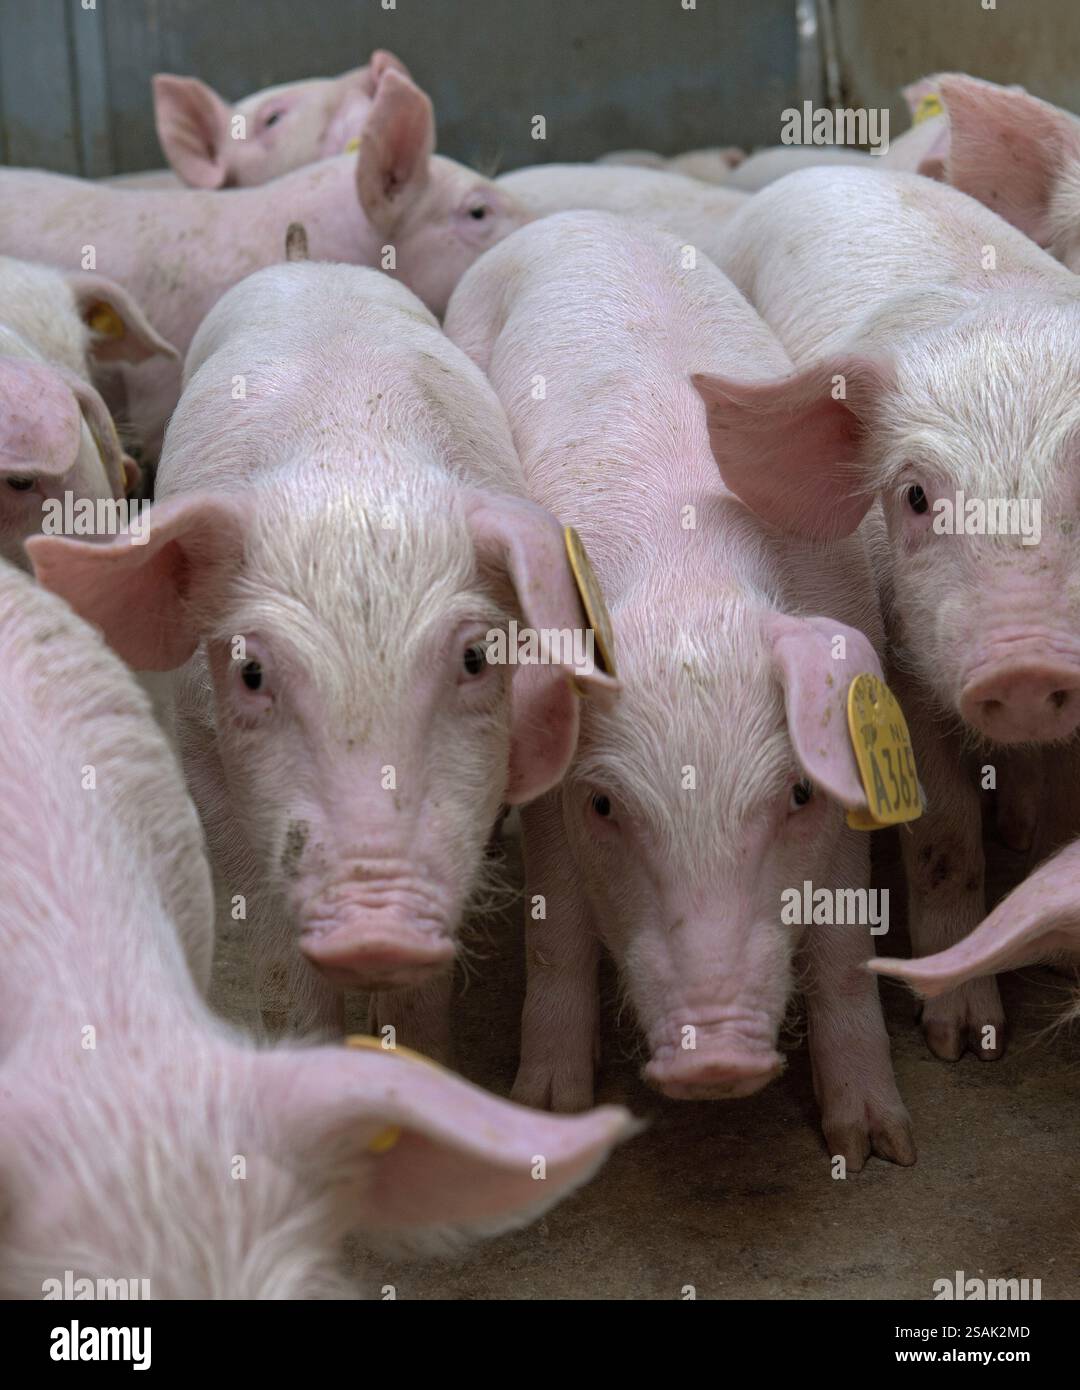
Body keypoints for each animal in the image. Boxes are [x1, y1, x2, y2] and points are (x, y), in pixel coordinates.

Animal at [30, 260, 616, 1043]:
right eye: (250, 672)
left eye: (475, 659)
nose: (377, 928)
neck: (351, 466)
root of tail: (308, 257)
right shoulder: (203, 751)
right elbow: (279, 959)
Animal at [444, 210, 914, 1169]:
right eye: (605, 806)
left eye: (797, 794)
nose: (716, 1061)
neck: (690, 586)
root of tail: (571, 215)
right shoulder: (554, 792)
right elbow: (556, 932)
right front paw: (551, 1108)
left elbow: (845, 947)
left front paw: (877, 1147)